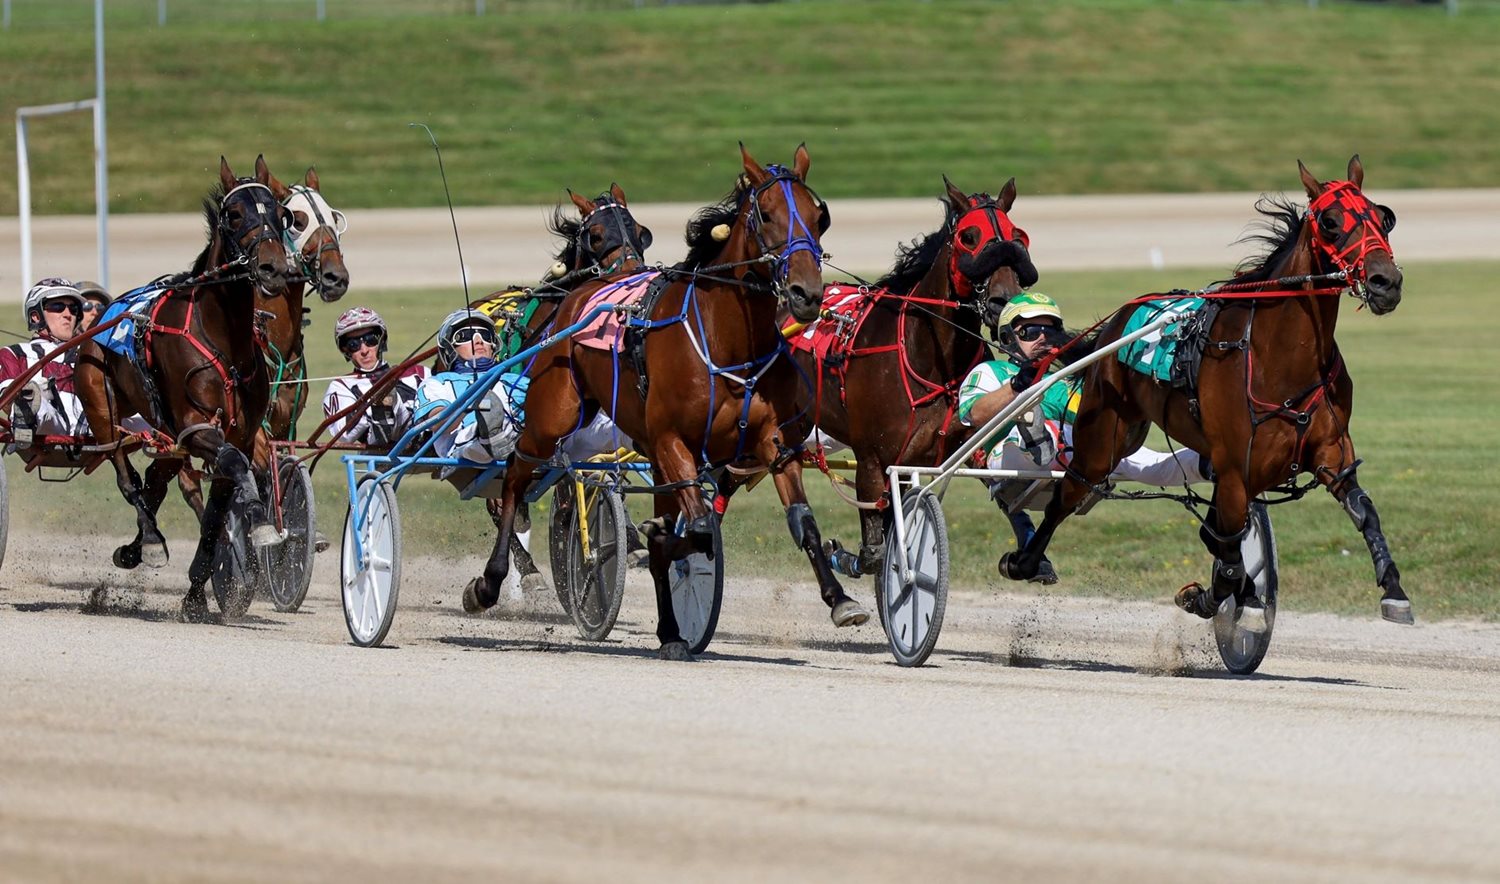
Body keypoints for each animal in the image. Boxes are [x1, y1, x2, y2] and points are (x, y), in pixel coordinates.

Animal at [75, 155, 293, 622]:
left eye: (279, 213)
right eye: (234, 214)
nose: (273, 268)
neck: (224, 338)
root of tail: (102, 313)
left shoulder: (236, 436)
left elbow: (214, 514)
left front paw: (196, 595)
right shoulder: (198, 428)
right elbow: (231, 472)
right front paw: (259, 520)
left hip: (167, 434)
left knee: (155, 483)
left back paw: (134, 548)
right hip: (101, 404)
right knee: (126, 476)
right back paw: (151, 541)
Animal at [483, 143, 860, 660]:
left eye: (819, 216)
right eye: (766, 214)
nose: (807, 294)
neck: (727, 343)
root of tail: (582, 290)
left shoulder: (772, 444)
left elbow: (800, 522)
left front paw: (840, 599)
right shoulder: (671, 440)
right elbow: (697, 531)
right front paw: (657, 536)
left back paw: (670, 630)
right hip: (551, 416)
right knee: (515, 478)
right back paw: (490, 580)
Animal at [790, 176, 1038, 576]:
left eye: (1018, 237)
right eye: (969, 236)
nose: (1004, 300)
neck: (931, 358)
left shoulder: (960, 443)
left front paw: (1028, 556)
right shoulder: (873, 461)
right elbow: (875, 552)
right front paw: (851, 557)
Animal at [998, 155, 1413, 628]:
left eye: (1384, 217)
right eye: (1329, 221)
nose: (1385, 282)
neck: (1276, 358)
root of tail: (1118, 321)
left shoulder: (1330, 452)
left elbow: (1363, 510)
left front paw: (1394, 589)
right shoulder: (1236, 470)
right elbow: (1228, 554)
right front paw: (1218, 599)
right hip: (1105, 438)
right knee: (1067, 494)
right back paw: (1025, 562)